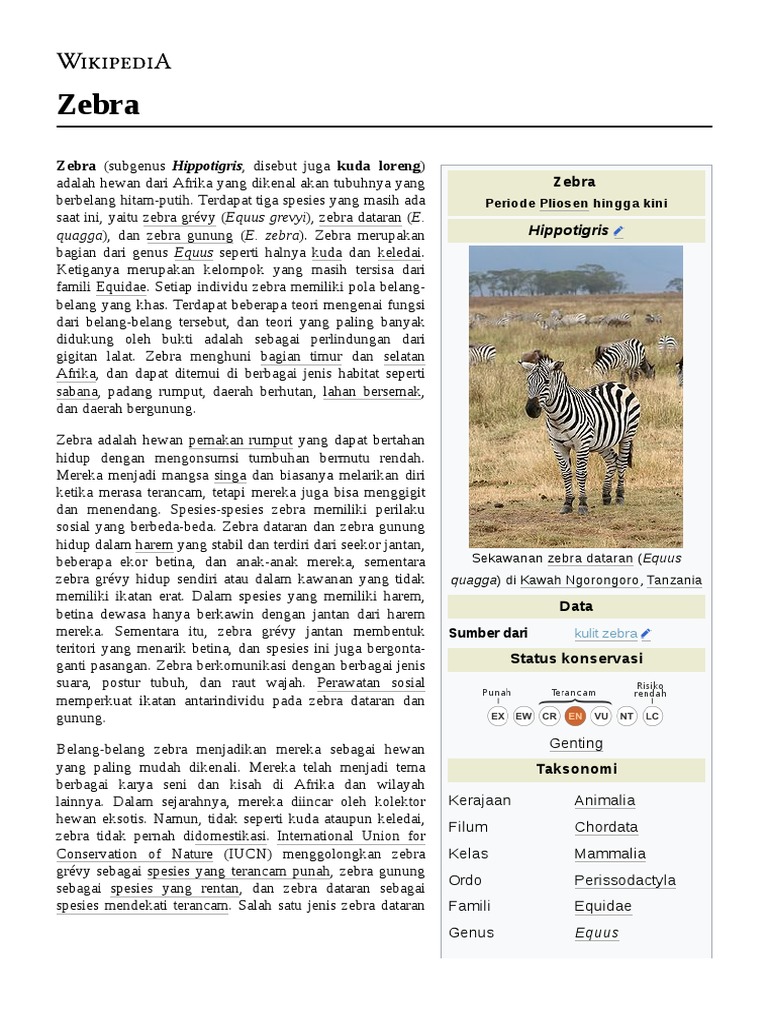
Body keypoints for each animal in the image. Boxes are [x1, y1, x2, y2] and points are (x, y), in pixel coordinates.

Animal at [519, 351, 640, 515]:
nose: (531, 410)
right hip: (603, 441)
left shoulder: (582, 444)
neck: (556, 417)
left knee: (621, 462)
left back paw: (619, 496)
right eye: (528, 381)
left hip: (627, 434)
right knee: (612, 460)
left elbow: (581, 473)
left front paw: (582, 504)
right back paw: (606, 495)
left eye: (547, 381)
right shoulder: (557, 446)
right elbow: (566, 473)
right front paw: (568, 503)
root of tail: (618, 384)